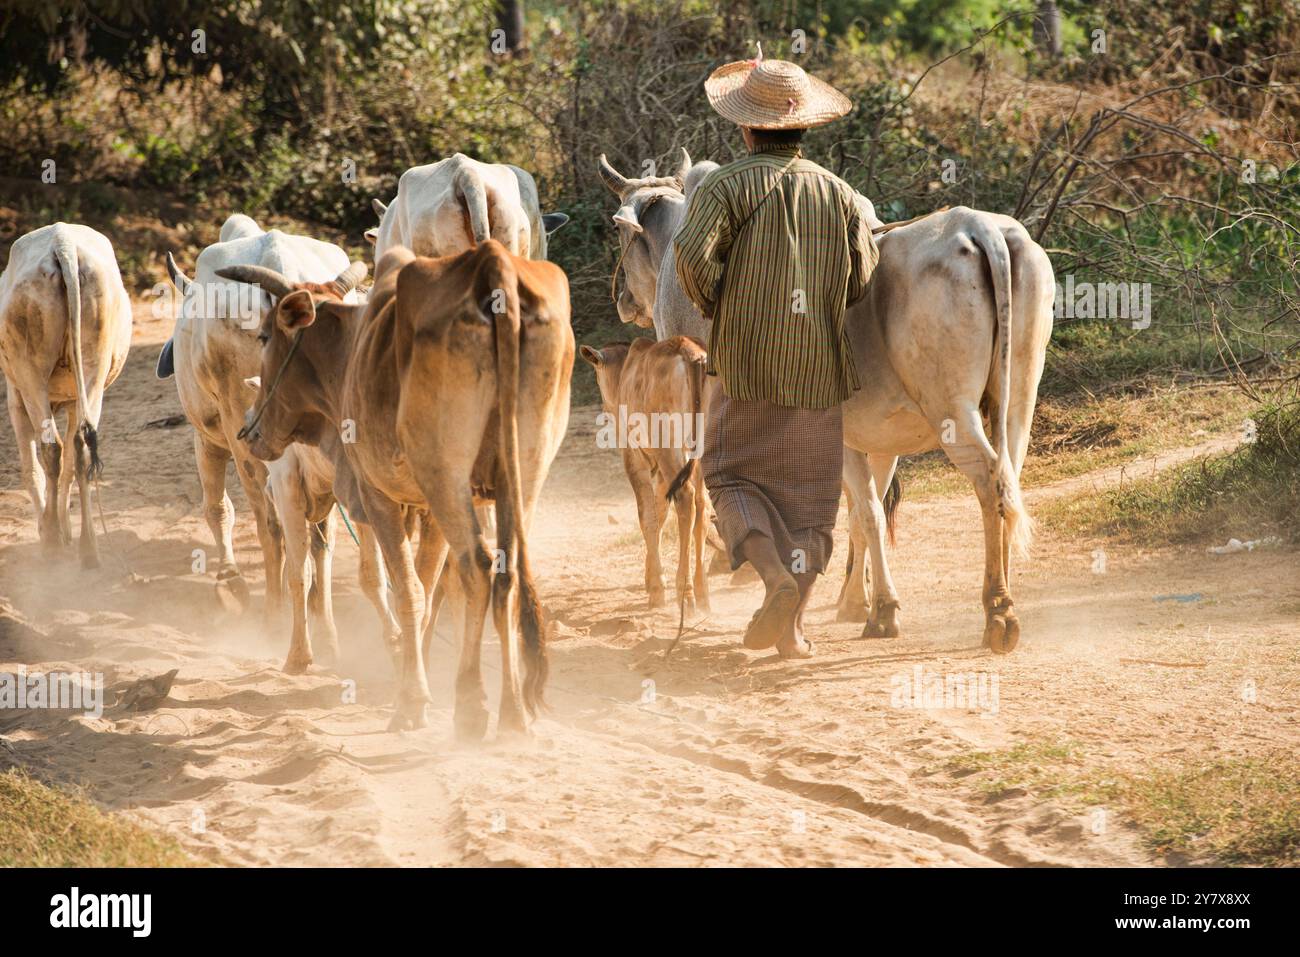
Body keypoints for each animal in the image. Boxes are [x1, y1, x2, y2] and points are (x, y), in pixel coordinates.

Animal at [0, 223, 132, 568]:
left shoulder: (14, 397)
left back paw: (51, 544)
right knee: (80, 447)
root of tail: (63, 242)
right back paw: (89, 549)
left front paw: (50, 528)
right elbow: (71, 467)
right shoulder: (75, 400)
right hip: (93, 368)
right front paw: (64, 529)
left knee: (51, 449)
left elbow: (32, 469)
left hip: (29, 373)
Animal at [161, 215, 364, 617]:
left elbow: (216, 507)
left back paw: (273, 605)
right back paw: (315, 603)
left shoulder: (207, 438)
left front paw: (229, 581)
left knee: (268, 520)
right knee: (320, 530)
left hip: (240, 424)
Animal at [221, 239, 573, 736]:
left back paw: (471, 709)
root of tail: (491, 263)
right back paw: (512, 715)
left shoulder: (378, 496)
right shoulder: (427, 507)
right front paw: (412, 674)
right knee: (506, 575)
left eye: (265, 337)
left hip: (445, 477)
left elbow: (406, 590)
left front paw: (410, 700)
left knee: (478, 569)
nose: (249, 430)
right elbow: (423, 589)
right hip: (520, 477)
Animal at [579, 336, 711, 615]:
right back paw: (702, 591)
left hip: (669, 445)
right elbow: (659, 513)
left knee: (686, 498)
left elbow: (647, 516)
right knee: (702, 504)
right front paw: (651, 577)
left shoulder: (635, 457)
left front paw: (657, 588)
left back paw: (685, 592)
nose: (606, 408)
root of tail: (691, 353)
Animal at [600, 155, 1054, 653]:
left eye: (619, 232)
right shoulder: (871, 437)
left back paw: (998, 608)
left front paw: (876, 609)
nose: (622, 298)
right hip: (1018, 401)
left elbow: (839, 512)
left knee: (990, 482)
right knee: (1009, 482)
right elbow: (861, 513)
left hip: (954, 413)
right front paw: (858, 602)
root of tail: (981, 228)